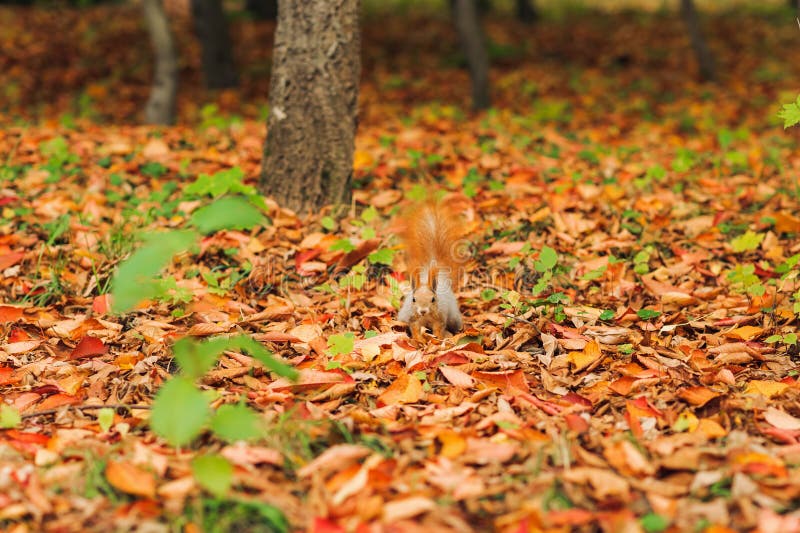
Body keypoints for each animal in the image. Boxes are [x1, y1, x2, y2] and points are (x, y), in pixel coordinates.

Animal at [396, 200, 466, 342]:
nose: (423, 311)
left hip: (453, 317)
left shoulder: (440, 318)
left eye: (433, 299)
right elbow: (415, 330)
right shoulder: (413, 319)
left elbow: (439, 330)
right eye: (413, 299)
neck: (426, 317)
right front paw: (420, 341)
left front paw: (437, 340)